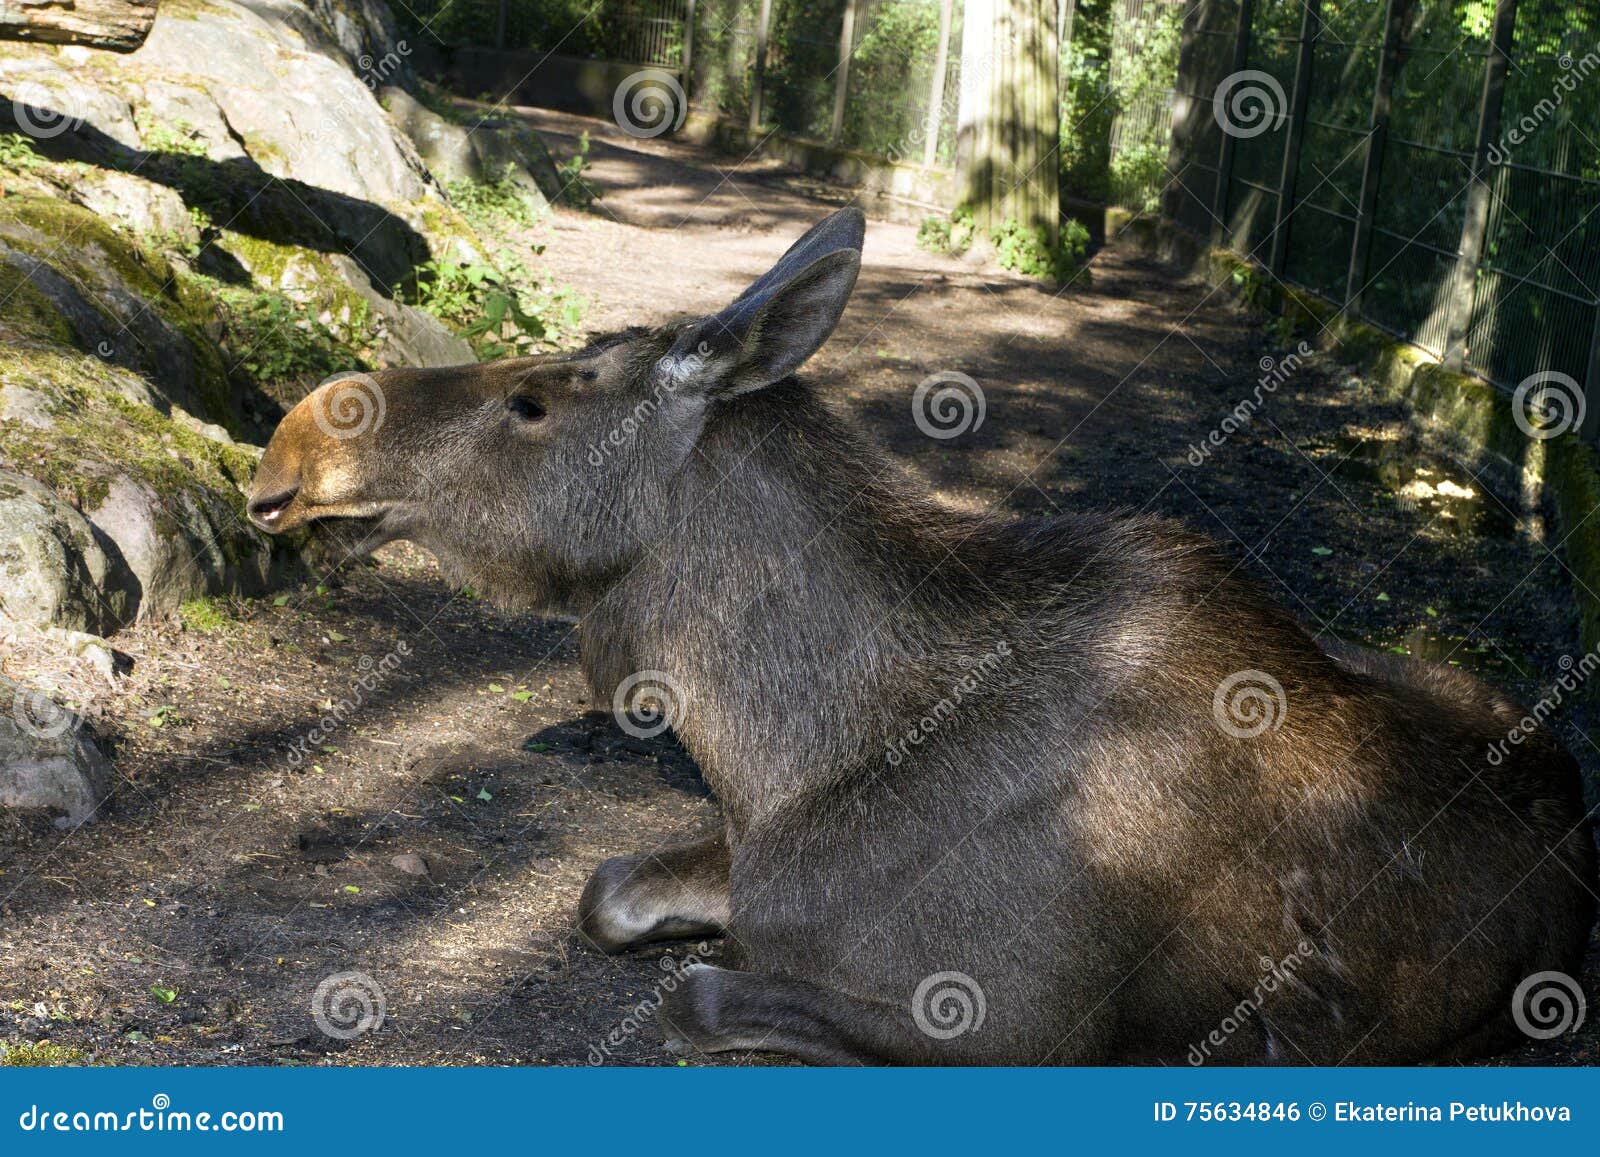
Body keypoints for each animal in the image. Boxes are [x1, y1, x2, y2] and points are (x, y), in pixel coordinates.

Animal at [248, 207, 1596, 1064]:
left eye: (532, 401)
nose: (291, 445)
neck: (783, 755)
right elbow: (609, 891)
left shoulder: (1014, 1025)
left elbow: (698, 991)